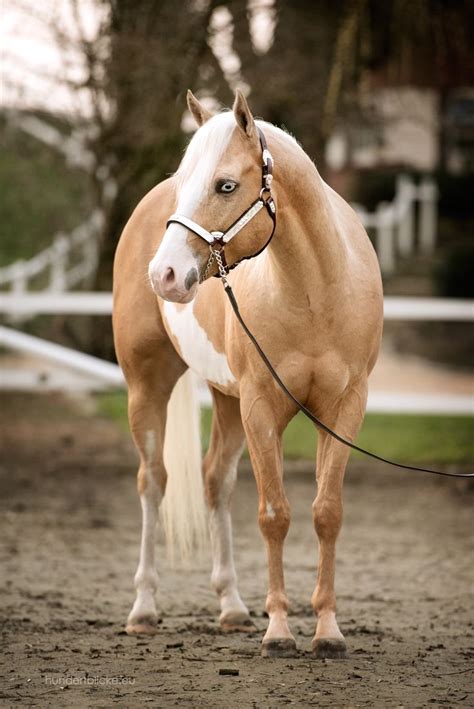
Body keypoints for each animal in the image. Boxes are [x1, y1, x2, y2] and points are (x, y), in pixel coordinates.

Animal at [112, 89, 383, 659]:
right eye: (186, 179)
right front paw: (278, 631)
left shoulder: (344, 408)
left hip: (227, 399)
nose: (164, 275)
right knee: (154, 481)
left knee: (215, 479)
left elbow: (326, 512)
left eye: (226, 185)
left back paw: (232, 607)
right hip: (147, 385)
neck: (315, 292)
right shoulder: (263, 407)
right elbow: (273, 514)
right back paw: (144, 608)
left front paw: (327, 631)